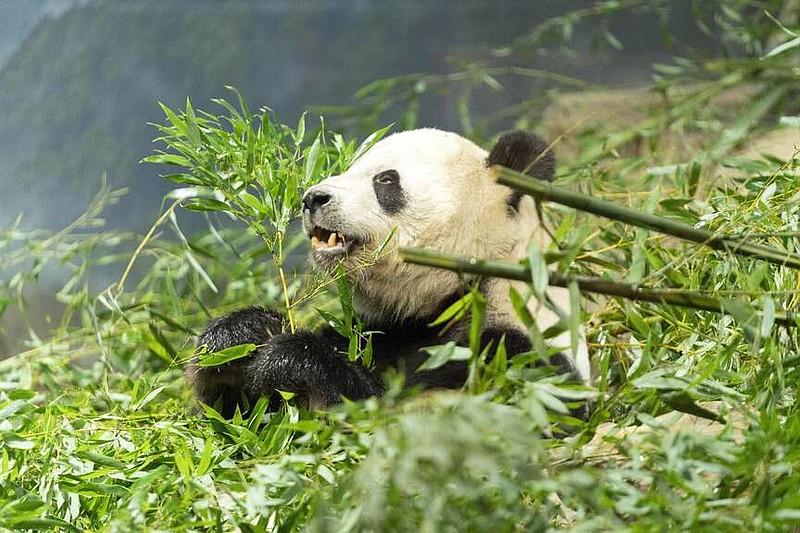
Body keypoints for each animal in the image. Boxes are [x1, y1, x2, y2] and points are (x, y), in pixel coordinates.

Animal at [188, 128, 589, 417]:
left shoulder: (514, 354)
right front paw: (240, 336)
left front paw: (289, 361)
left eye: (385, 180)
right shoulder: (377, 333)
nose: (312, 198)